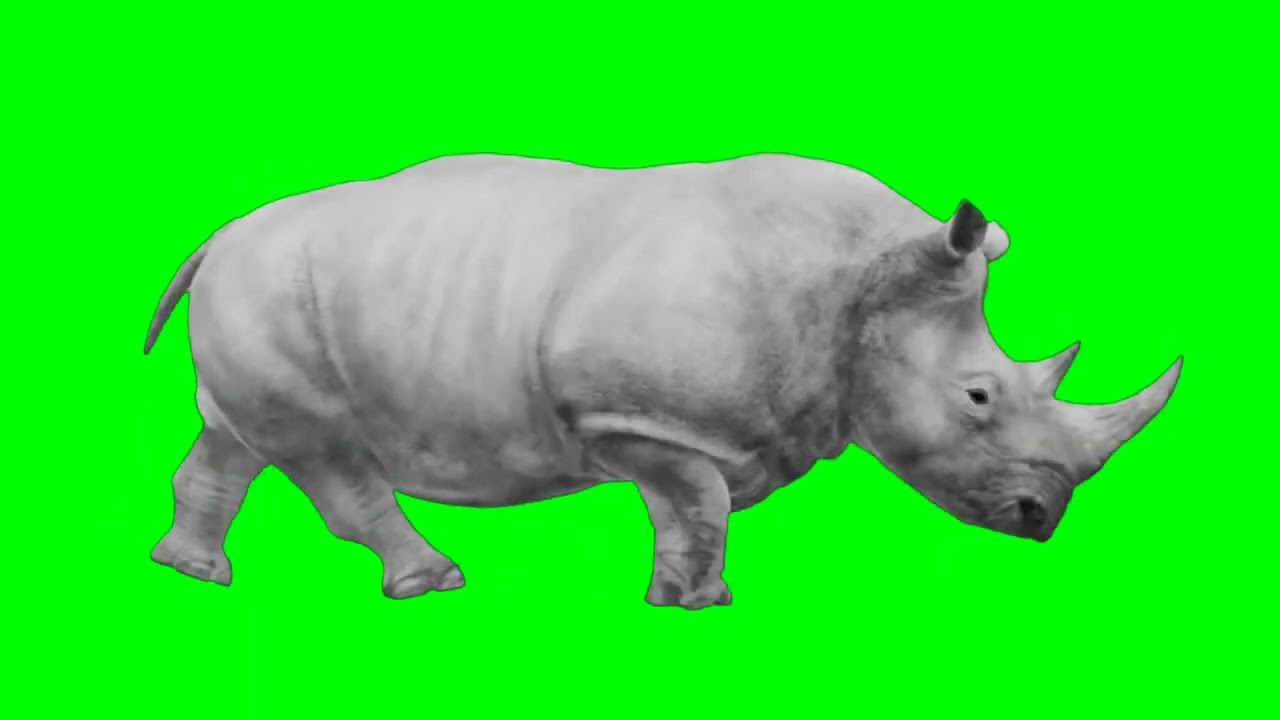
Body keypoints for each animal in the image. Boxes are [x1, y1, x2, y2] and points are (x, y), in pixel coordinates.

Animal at [145, 153, 1182, 609]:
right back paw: (433, 583)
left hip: (263, 289)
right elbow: (700, 501)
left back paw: (190, 573)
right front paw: (693, 605)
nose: (1041, 519)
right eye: (978, 398)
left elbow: (702, 507)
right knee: (325, 450)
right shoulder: (635, 418)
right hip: (271, 286)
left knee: (235, 438)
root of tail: (216, 237)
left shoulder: (721, 422)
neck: (866, 278)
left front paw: (692, 598)